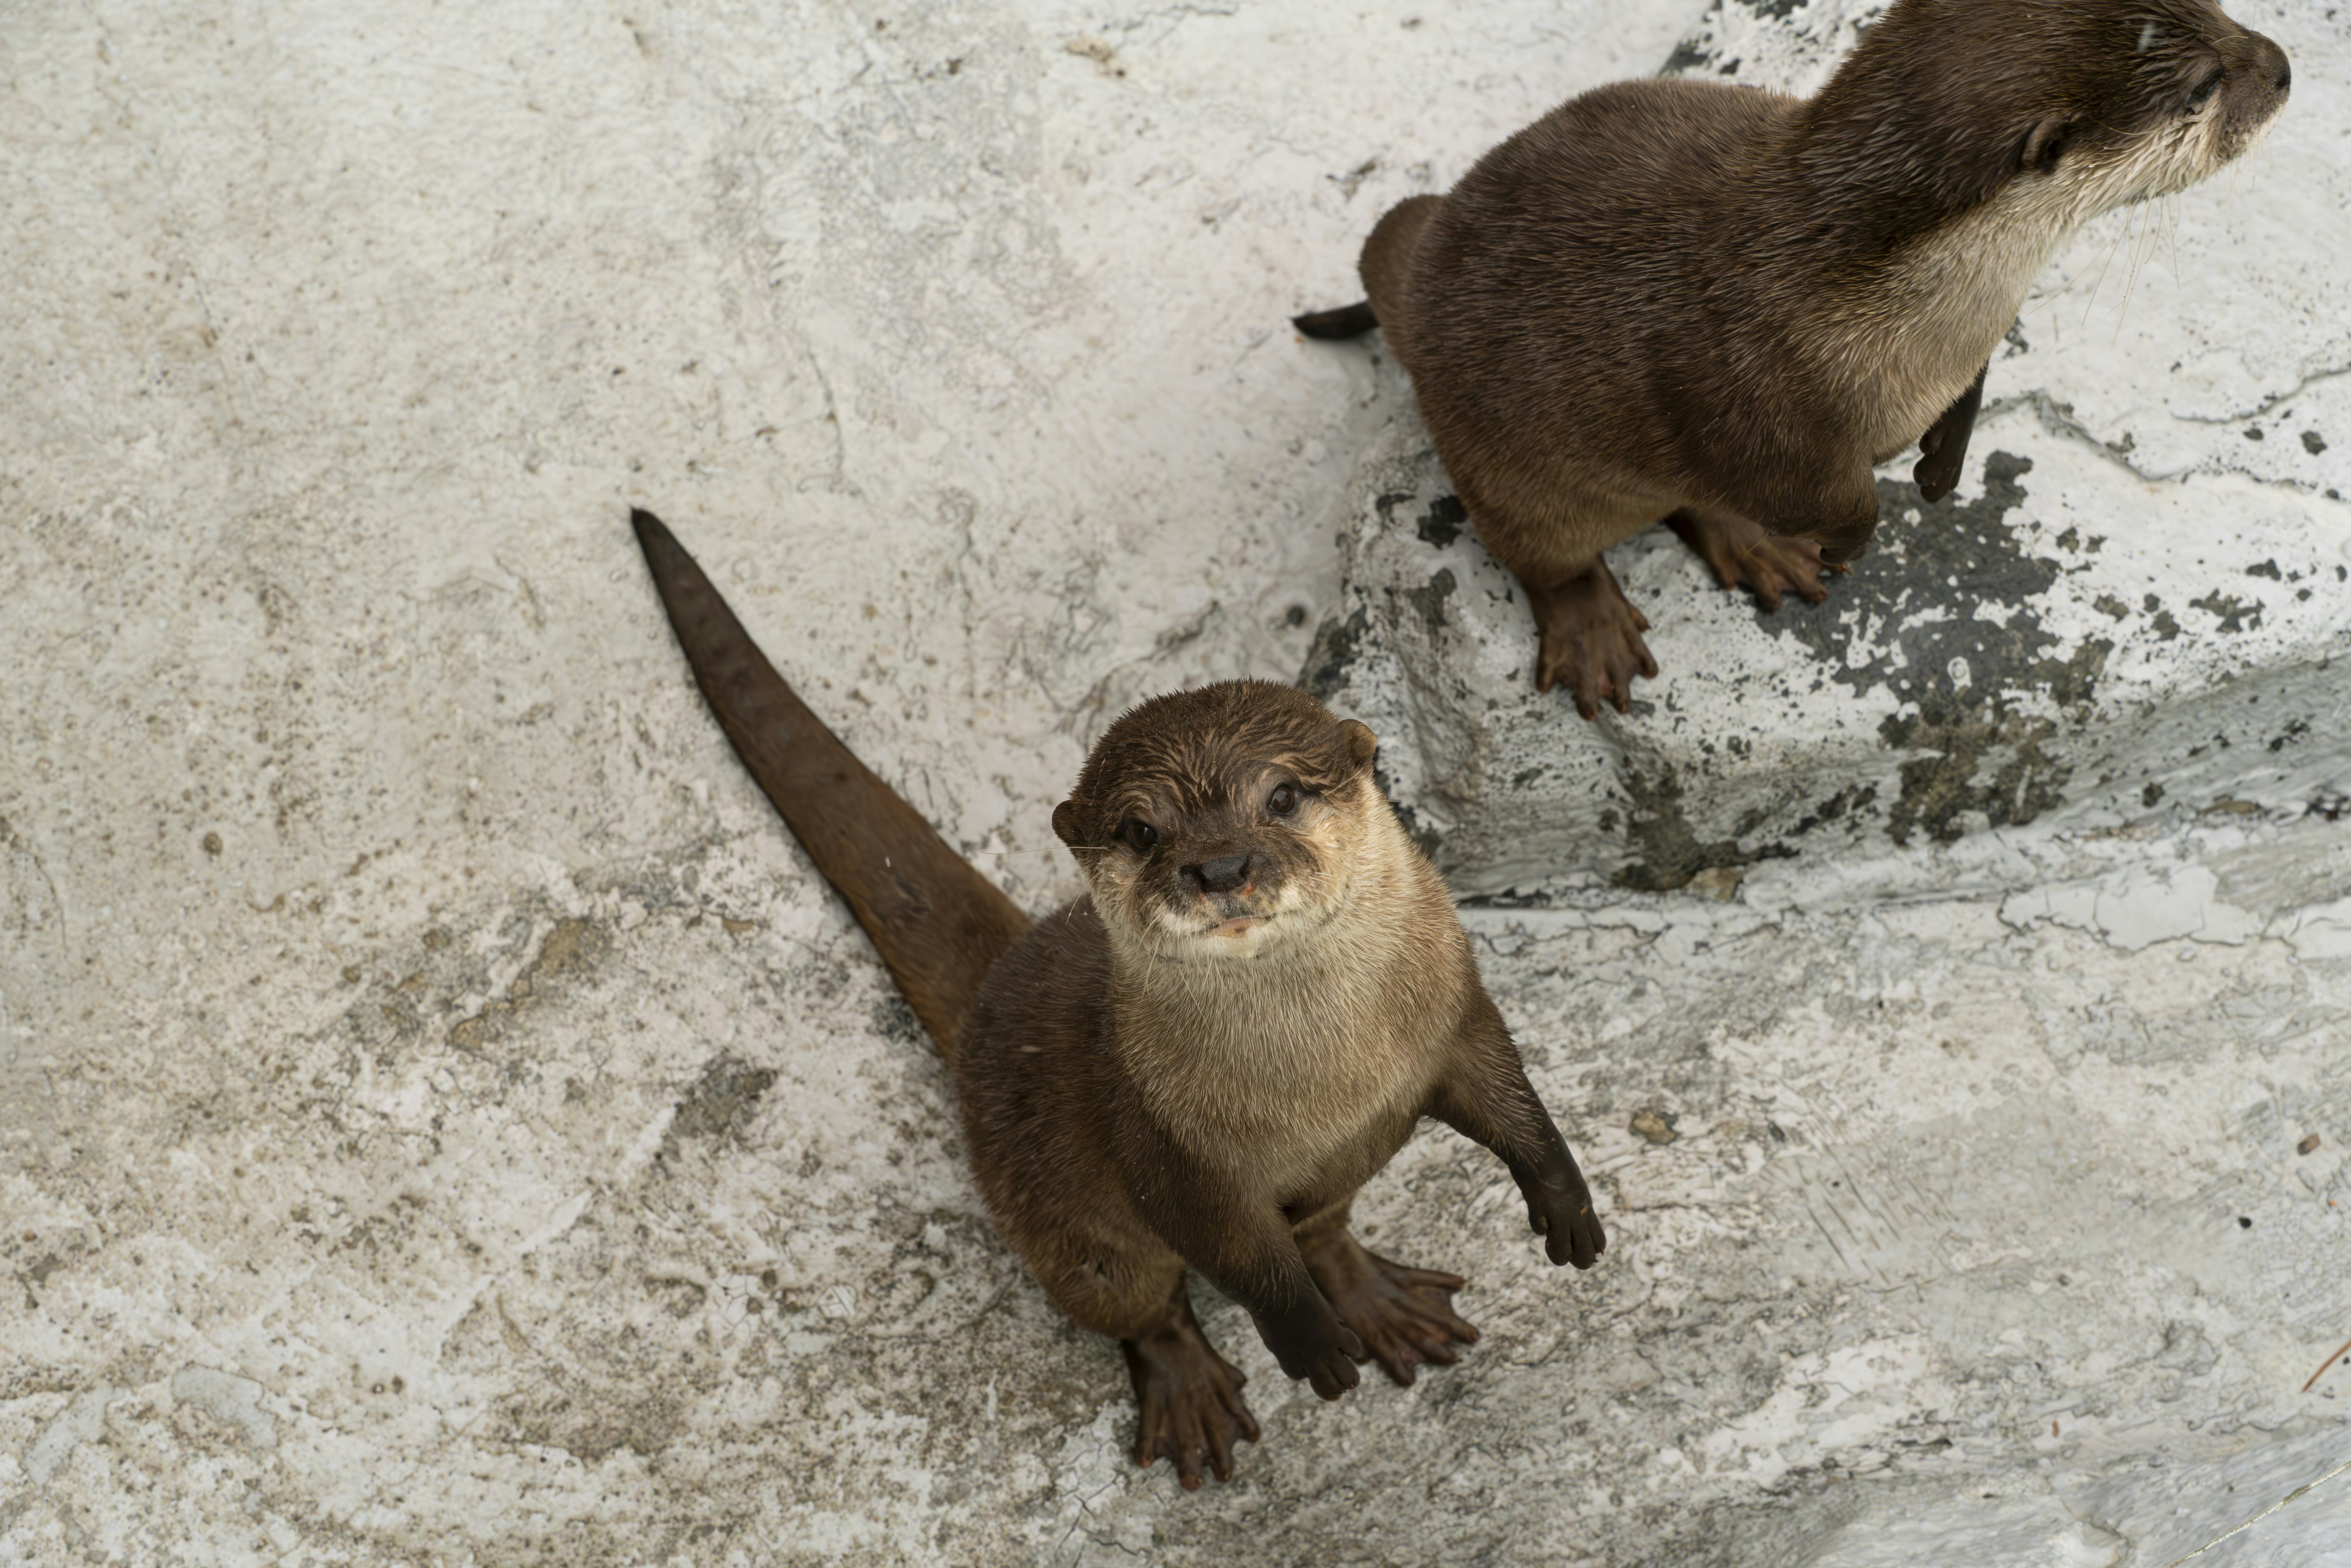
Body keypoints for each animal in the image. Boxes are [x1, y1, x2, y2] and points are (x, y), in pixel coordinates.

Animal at [632, 509, 1605, 1489]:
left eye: (1283, 794)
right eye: (1141, 830)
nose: (1219, 867)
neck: (1329, 1075)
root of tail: (998, 982)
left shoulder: (1454, 1011)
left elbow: (1512, 1101)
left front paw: (1568, 1209)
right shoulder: (1169, 1145)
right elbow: (1246, 1262)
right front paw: (1310, 1349)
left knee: (1324, 1229)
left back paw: (1383, 1303)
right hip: (1062, 1227)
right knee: (1146, 1307)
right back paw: (1196, 1390)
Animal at [1294, 0, 2291, 718]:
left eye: (2213, 3)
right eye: (2203, 84)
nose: (2282, 66)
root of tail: (1422, 276)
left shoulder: (1972, 339)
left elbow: (1969, 390)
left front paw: (1941, 466)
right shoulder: (1753, 390)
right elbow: (1828, 492)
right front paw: (1847, 536)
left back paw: (1758, 548)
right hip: (1505, 467)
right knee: (1549, 558)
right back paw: (1595, 631)